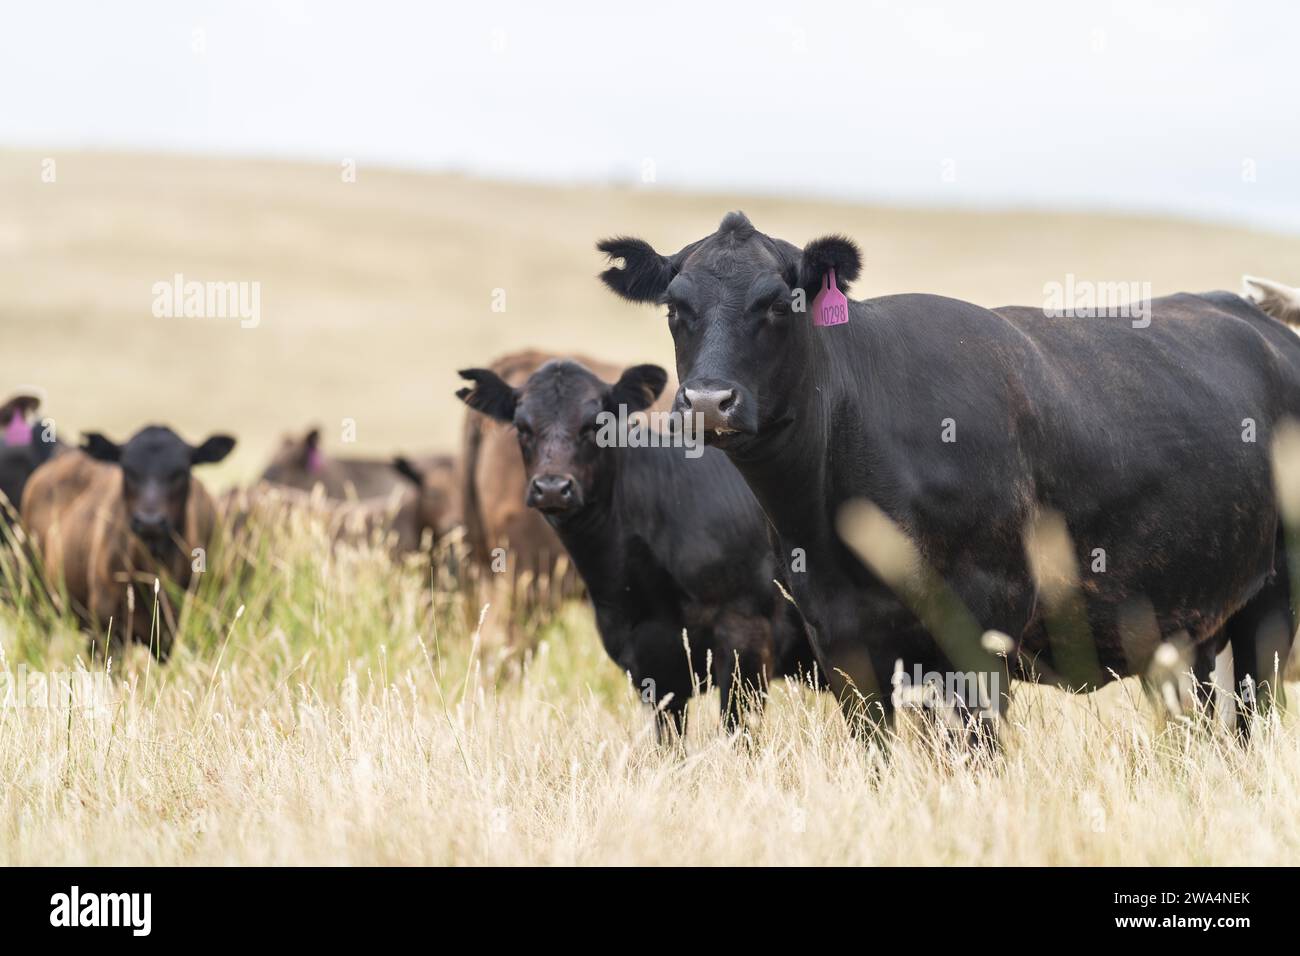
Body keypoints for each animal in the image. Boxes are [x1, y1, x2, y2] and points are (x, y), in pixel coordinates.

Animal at [597, 211, 1300, 741]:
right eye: (675, 308)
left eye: (778, 303)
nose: (707, 401)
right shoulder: (841, 640)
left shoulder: (979, 630)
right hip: (1199, 621)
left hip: (1271, 604)